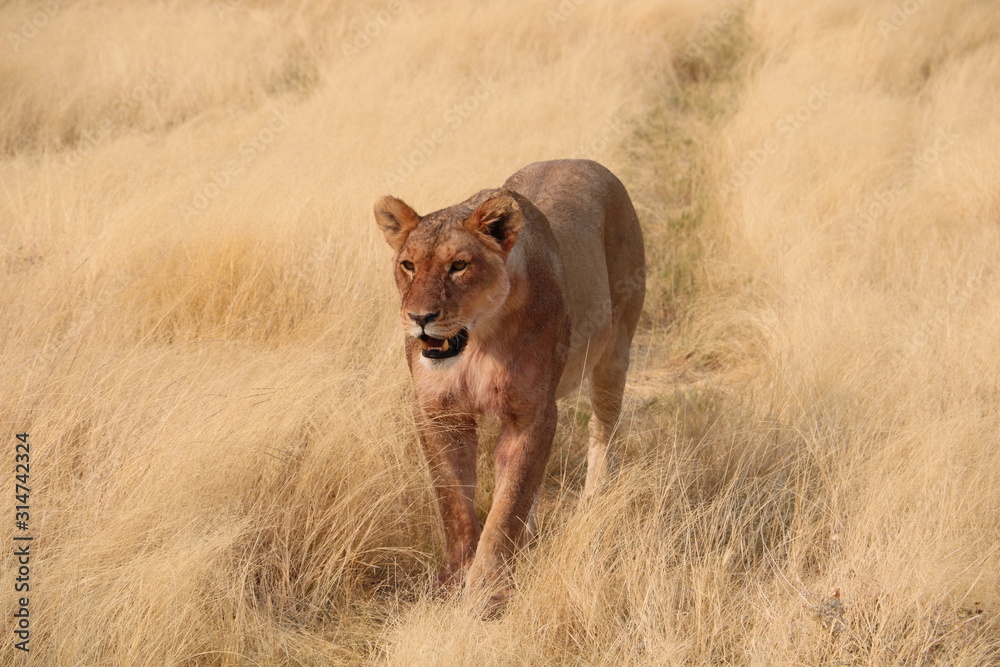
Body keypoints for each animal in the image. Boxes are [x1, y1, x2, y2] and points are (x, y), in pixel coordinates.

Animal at [374, 159, 645, 605]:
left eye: (459, 265)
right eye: (408, 265)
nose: (419, 318)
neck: (479, 341)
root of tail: (582, 161)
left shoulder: (531, 413)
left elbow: (507, 506)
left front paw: (488, 591)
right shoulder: (438, 412)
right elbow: (455, 503)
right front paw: (454, 581)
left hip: (616, 351)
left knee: (603, 429)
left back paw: (593, 499)